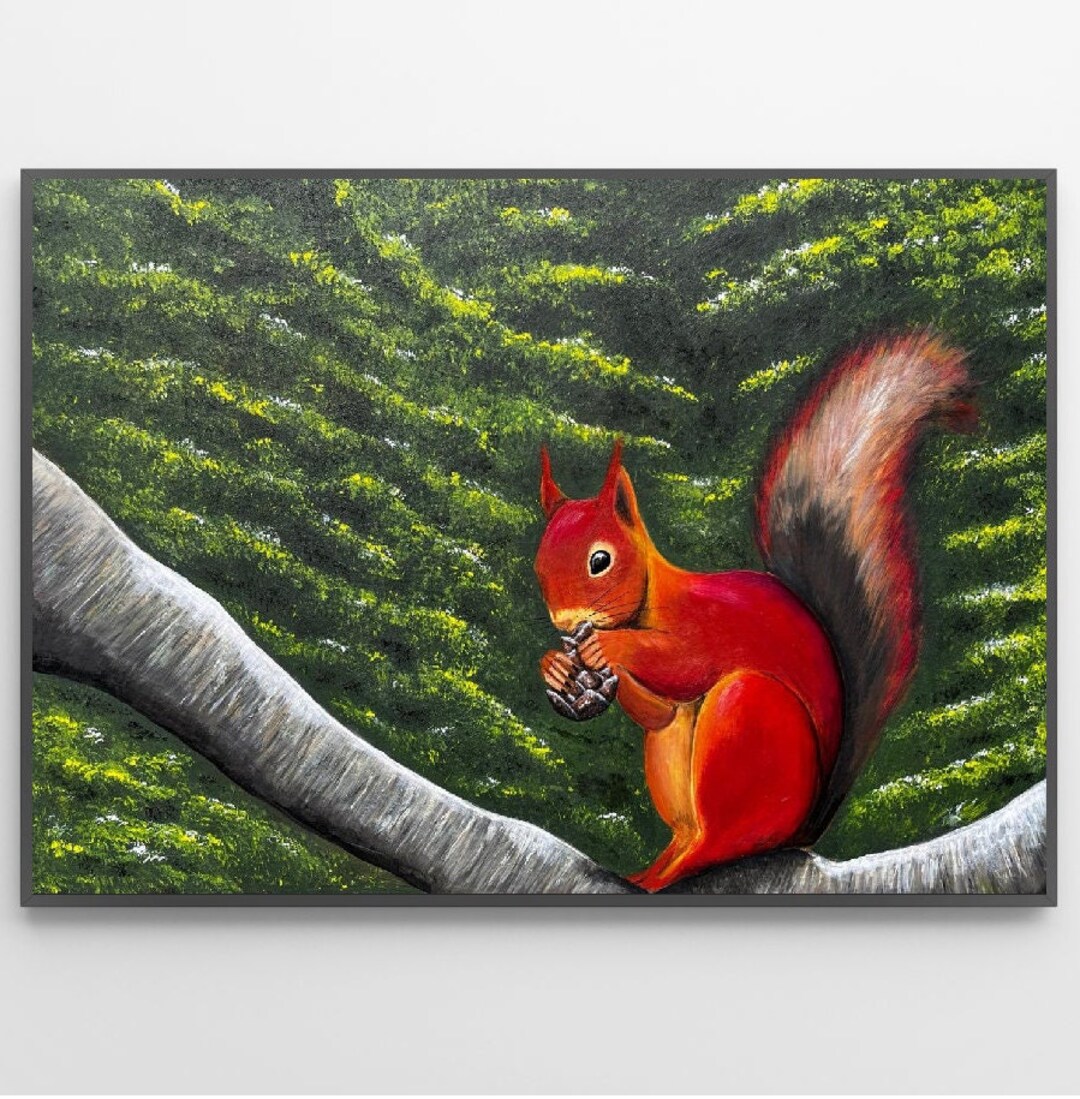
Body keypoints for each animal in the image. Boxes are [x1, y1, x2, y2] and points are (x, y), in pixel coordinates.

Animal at [534, 331, 976, 892]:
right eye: (538, 564)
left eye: (600, 560)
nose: (567, 624)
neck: (654, 603)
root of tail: (802, 828)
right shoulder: (661, 708)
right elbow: (658, 712)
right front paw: (556, 667)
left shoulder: (708, 626)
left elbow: (683, 665)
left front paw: (605, 647)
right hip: (671, 759)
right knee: (686, 817)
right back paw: (652, 867)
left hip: (748, 714)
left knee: (723, 837)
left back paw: (674, 871)